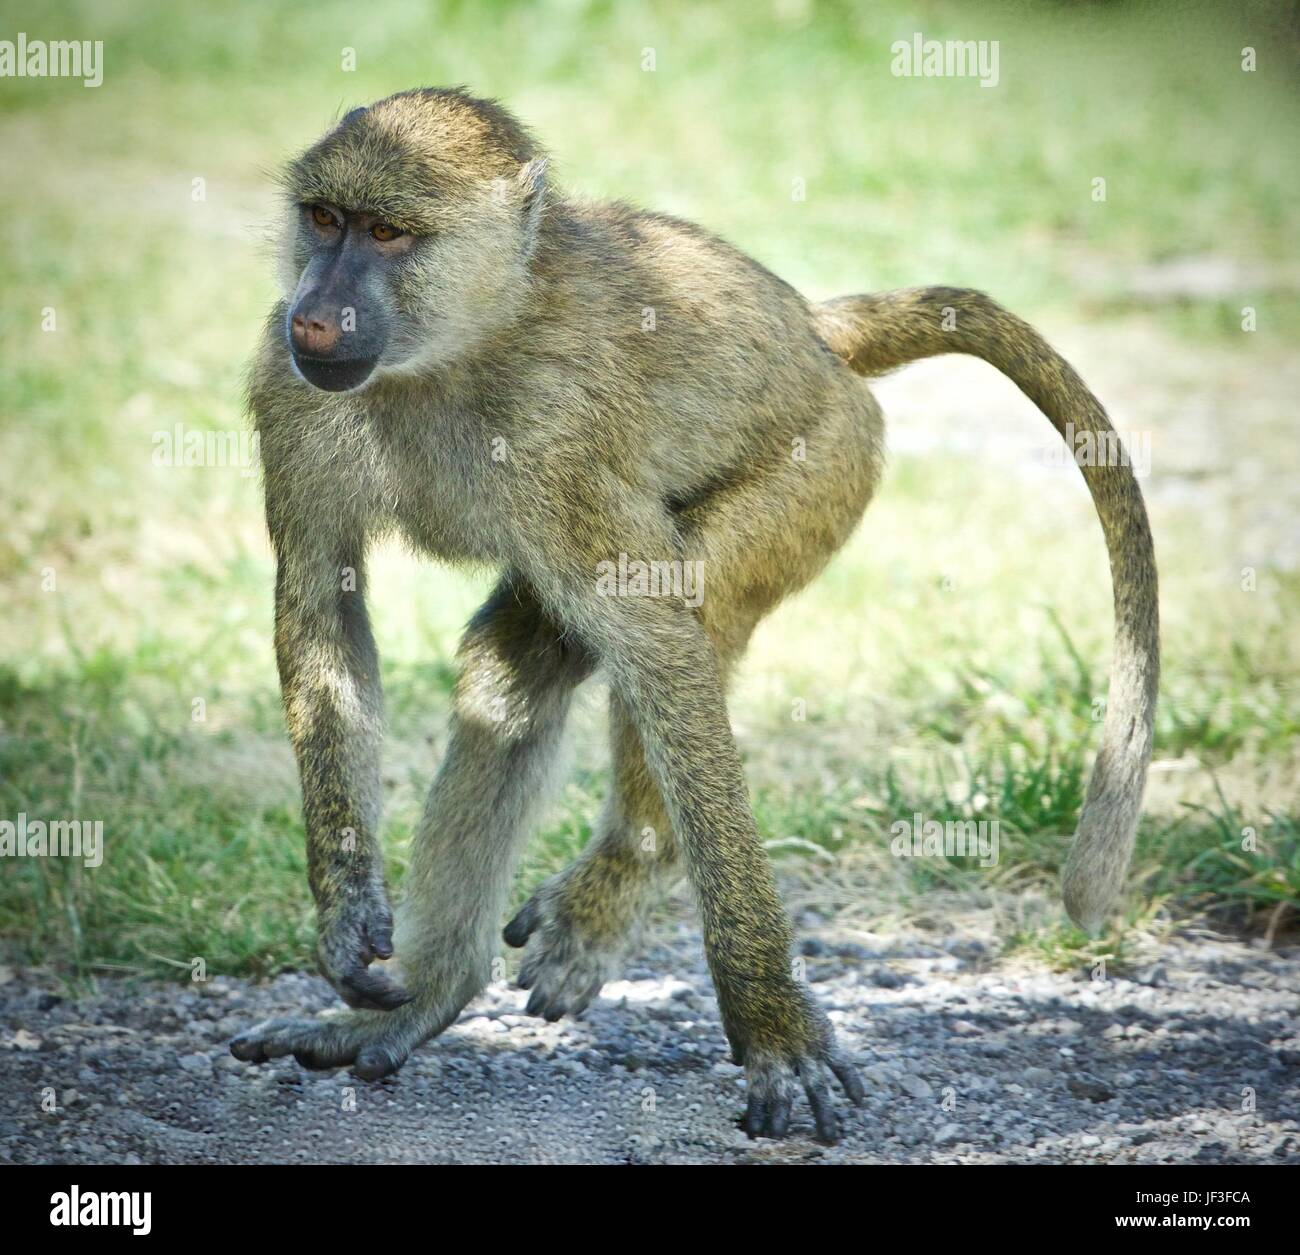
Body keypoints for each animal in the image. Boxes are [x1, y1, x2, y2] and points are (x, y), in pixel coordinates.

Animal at [229, 88, 1159, 1145]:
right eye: (324, 219)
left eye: (388, 233)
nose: (316, 312)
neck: (462, 342)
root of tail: (813, 324)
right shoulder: (288, 389)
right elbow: (322, 604)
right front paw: (347, 908)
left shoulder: (559, 438)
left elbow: (662, 645)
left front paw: (770, 1023)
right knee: (513, 667)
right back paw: (433, 991)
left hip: (825, 461)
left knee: (692, 614)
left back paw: (618, 881)